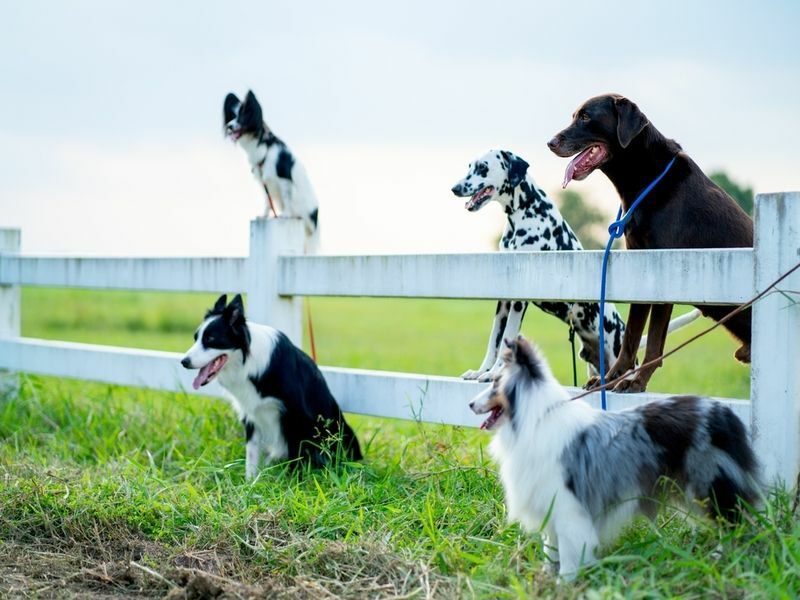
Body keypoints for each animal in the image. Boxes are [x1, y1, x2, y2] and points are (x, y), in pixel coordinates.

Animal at [183, 292, 360, 478]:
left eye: (210, 339)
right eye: (195, 338)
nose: (183, 362)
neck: (249, 364)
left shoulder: (295, 416)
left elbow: (296, 456)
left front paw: (293, 480)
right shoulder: (251, 415)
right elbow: (251, 456)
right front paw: (250, 482)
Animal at [223, 89, 320, 251]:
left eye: (242, 116)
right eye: (232, 116)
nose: (229, 126)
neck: (264, 145)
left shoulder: (284, 179)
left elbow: (286, 198)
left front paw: (285, 215)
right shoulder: (265, 182)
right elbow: (267, 202)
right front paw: (264, 217)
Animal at [450, 150, 700, 384]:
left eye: (483, 167)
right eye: (470, 166)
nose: (455, 188)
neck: (525, 212)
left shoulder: (519, 301)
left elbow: (505, 341)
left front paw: (494, 373)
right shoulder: (503, 301)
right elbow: (494, 341)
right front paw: (482, 371)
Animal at [472, 336, 760, 580]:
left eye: (495, 382)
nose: (470, 404)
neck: (535, 417)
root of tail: (724, 412)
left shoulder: (568, 508)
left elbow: (568, 555)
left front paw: (565, 584)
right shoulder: (549, 505)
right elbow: (550, 549)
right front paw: (545, 577)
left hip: (710, 485)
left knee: (736, 521)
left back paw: (726, 556)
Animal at [548, 94, 752, 394]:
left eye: (586, 117)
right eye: (574, 115)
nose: (550, 142)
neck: (645, 180)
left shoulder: (663, 276)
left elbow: (654, 343)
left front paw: (637, 382)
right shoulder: (641, 270)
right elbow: (631, 339)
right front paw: (611, 378)